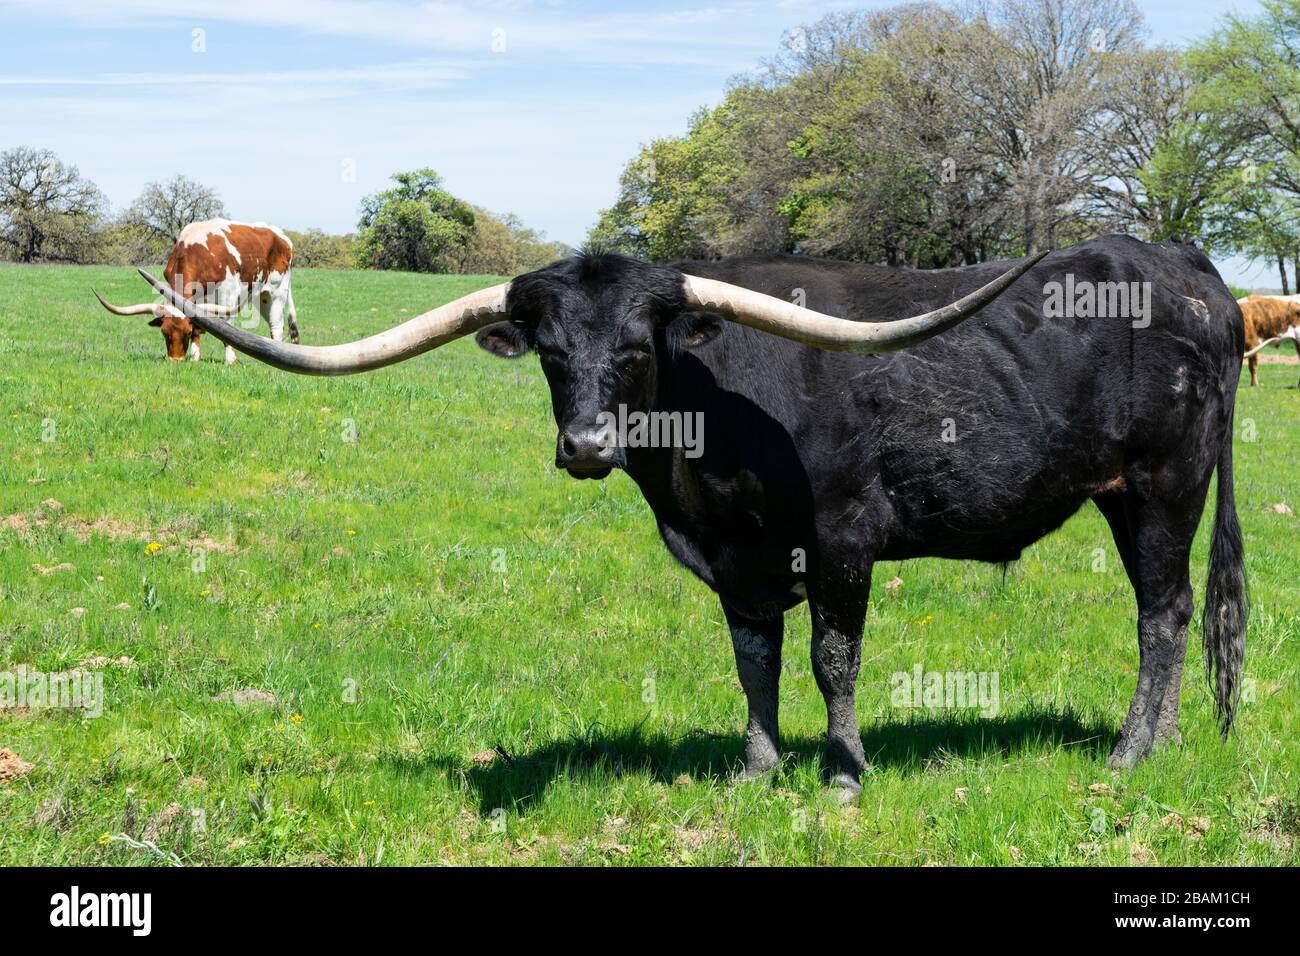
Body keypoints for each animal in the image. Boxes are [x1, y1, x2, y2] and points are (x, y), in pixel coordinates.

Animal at [94, 219, 299, 363]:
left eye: (185, 333)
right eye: (164, 332)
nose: (175, 360)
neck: (197, 252)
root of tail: (282, 236)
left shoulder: (228, 294)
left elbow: (227, 326)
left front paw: (230, 359)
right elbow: (199, 324)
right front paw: (195, 356)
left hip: (276, 292)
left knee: (276, 325)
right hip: (261, 297)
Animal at [142, 234, 1247, 793]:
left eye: (640, 345)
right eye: (549, 352)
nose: (587, 446)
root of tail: (1186, 267)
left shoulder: (844, 534)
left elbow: (831, 659)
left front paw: (842, 773)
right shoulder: (734, 557)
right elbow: (753, 662)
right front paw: (756, 770)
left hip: (1161, 488)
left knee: (1164, 615)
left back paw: (1129, 753)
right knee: (1174, 613)